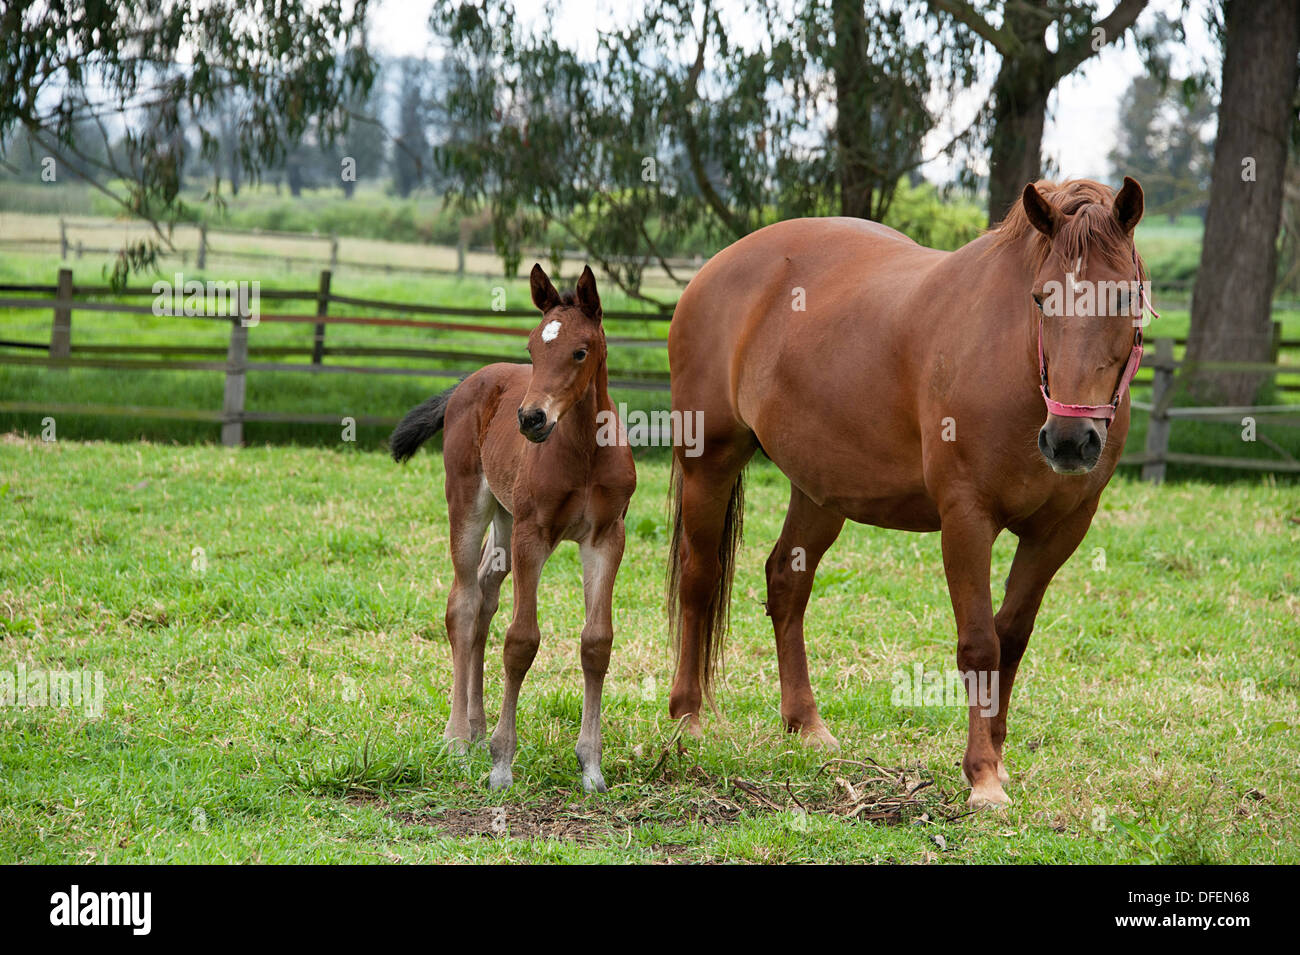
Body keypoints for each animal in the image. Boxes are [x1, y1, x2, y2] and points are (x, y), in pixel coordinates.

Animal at [390, 264, 636, 793]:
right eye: (531, 349)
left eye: (579, 351)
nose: (530, 418)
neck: (585, 452)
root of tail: (470, 380)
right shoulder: (533, 535)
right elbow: (522, 640)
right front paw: (502, 763)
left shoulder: (606, 537)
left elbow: (596, 642)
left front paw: (591, 766)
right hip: (469, 502)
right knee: (463, 604)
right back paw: (458, 739)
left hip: (504, 520)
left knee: (485, 596)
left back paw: (476, 728)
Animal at [665, 177, 1154, 807]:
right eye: (1042, 298)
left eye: (1125, 297)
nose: (1070, 441)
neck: (1015, 359)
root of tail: (716, 268)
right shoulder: (967, 518)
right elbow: (980, 643)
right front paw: (982, 777)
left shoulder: (1059, 531)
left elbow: (1012, 639)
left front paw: (997, 761)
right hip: (710, 464)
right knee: (699, 579)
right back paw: (688, 717)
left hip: (820, 492)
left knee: (786, 584)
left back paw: (806, 725)